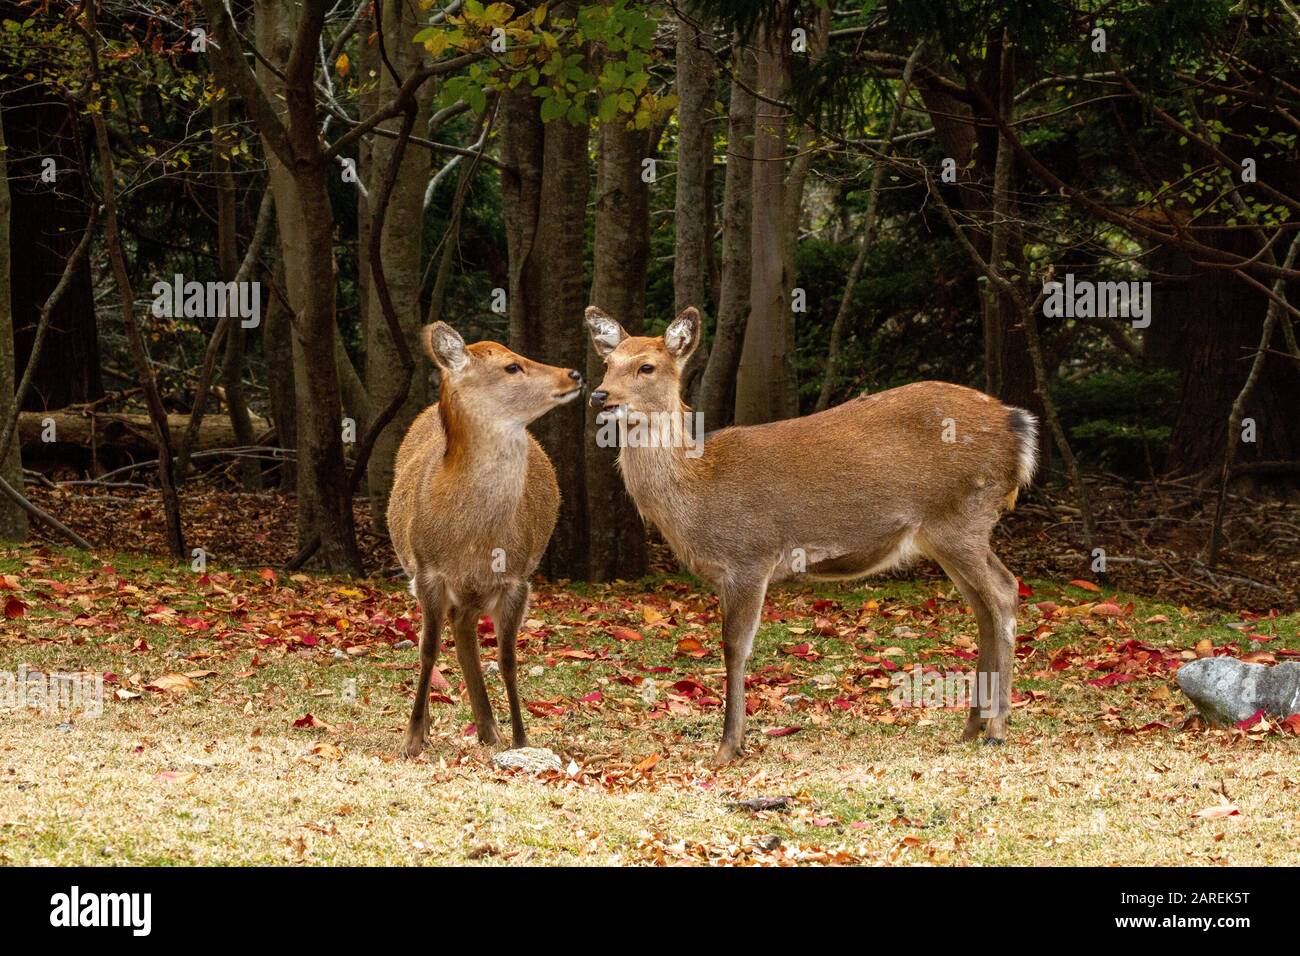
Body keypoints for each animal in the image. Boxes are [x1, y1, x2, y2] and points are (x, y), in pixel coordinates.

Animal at [388, 322, 584, 759]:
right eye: (512, 366)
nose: (574, 373)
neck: (475, 539)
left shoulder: (517, 579)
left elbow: (508, 658)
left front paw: (521, 738)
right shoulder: (427, 572)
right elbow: (427, 649)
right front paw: (411, 739)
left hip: (477, 591)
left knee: (464, 634)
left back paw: (488, 728)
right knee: (446, 635)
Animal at [585, 305, 1038, 766]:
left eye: (646, 366)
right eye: (607, 363)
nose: (600, 396)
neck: (696, 491)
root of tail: (1020, 428)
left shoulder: (750, 556)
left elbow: (735, 646)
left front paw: (728, 746)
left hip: (962, 516)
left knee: (1003, 592)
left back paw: (997, 729)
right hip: (948, 531)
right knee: (983, 607)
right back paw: (971, 726)